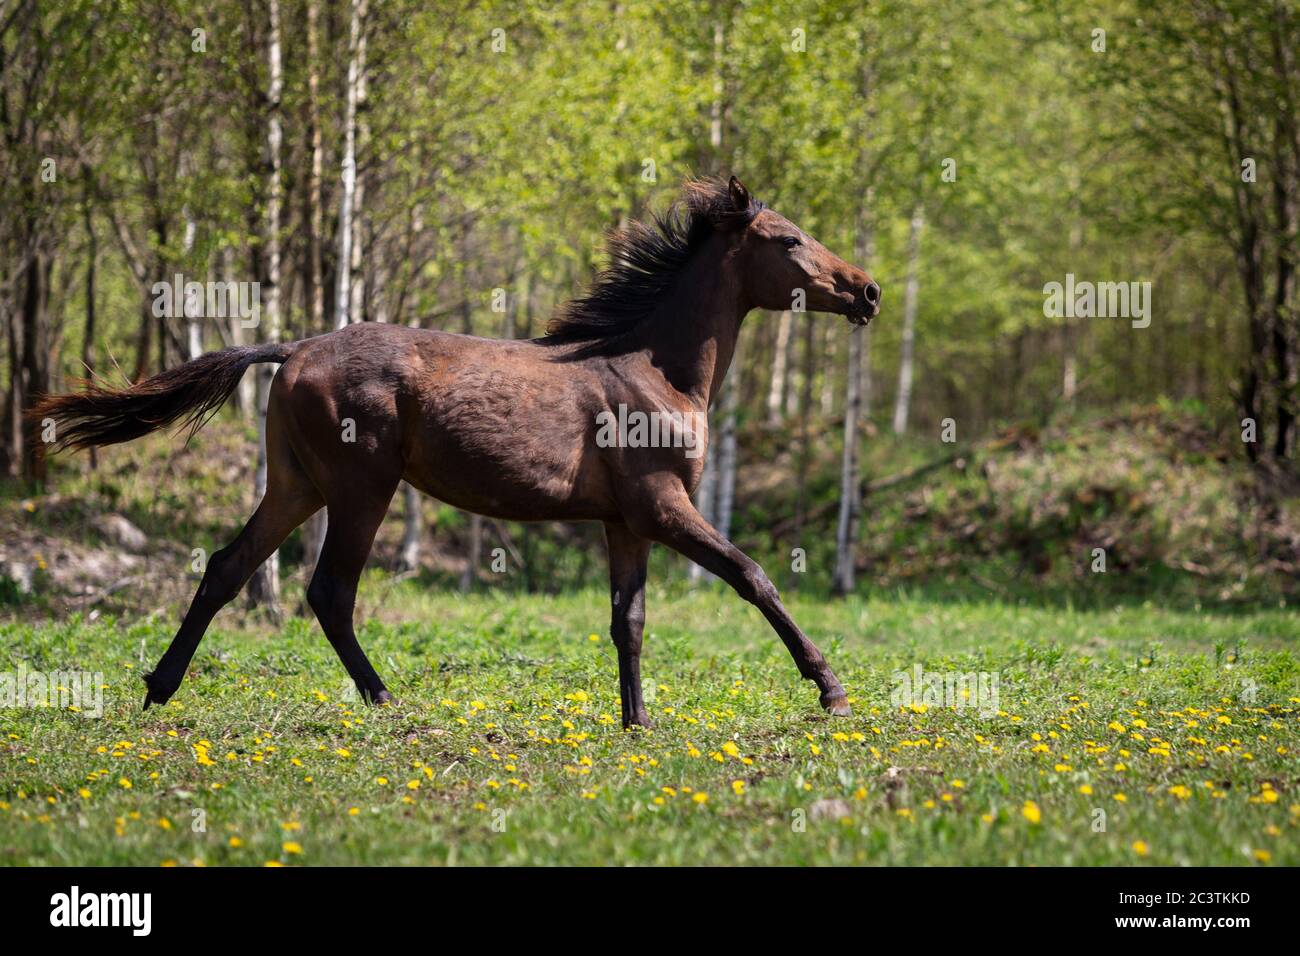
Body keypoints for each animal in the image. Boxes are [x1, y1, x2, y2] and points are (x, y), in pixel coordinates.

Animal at [34, 176, 881, 728]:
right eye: (789, 240)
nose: (868, 291)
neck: (654, 366)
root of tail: (293, 348)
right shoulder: (664, 505)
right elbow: (753, 577)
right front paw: (829, 689)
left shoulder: (626, 522)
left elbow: (629, 620)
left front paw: (637, 721)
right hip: (360, 490)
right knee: (328, 593)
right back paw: (383, 700)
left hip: (296, 486)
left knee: (227, 567)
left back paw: (159, 687)